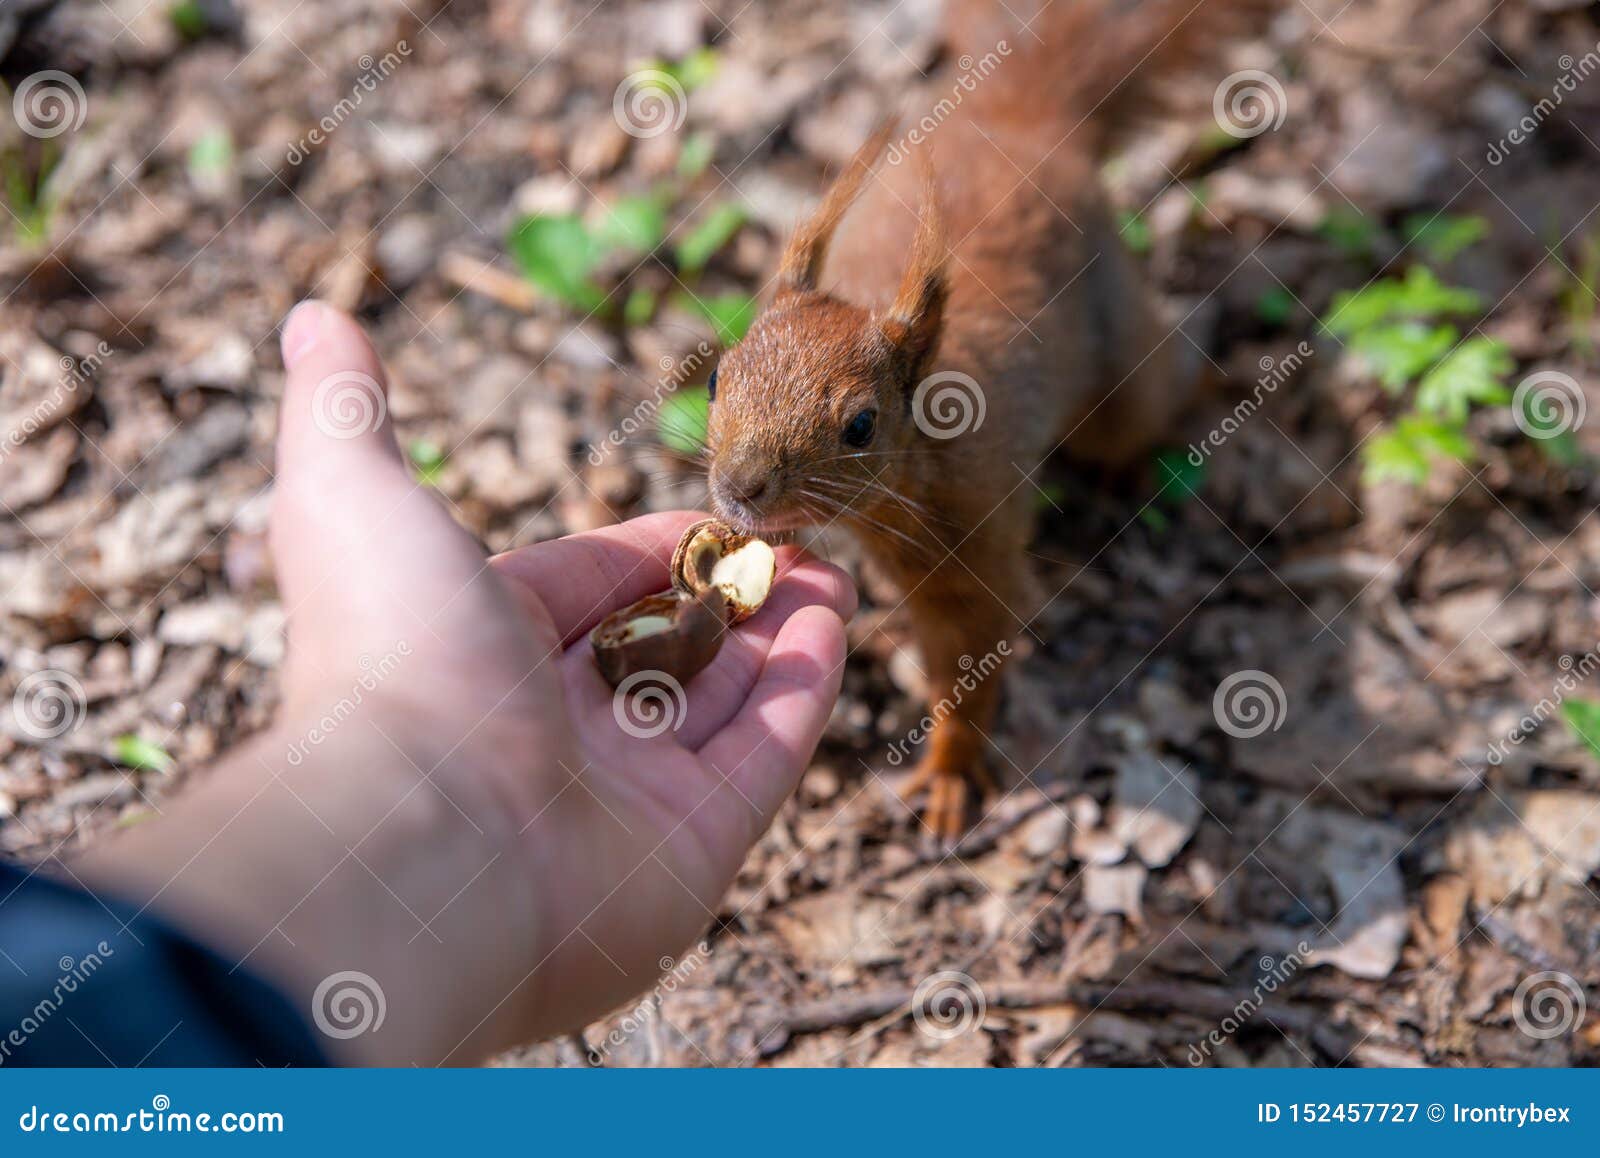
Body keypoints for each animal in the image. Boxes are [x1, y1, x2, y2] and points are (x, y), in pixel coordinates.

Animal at [704, 0, 1277, 839]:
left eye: (861, 426)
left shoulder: (974, 541)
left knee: (1148, 405)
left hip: (1118, 363)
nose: (740, 486)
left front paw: (948, 772)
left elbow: (970, 658)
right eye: (716, 375)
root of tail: (1017, 122)